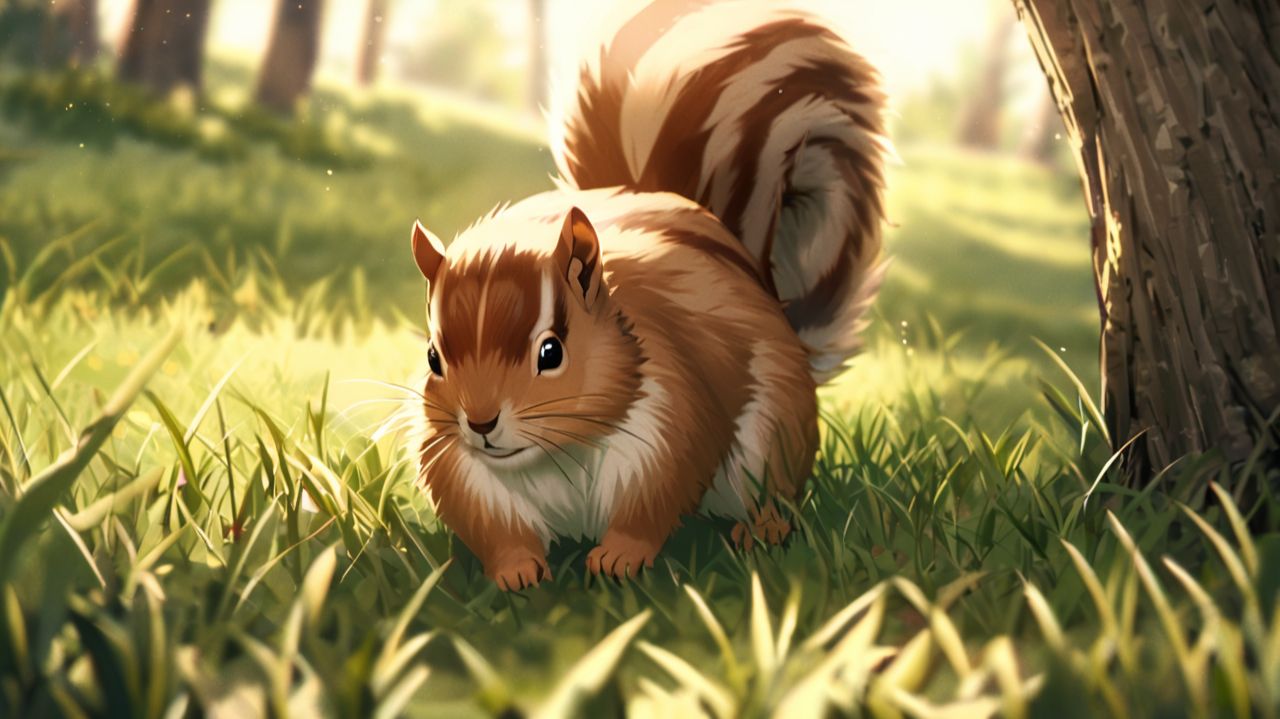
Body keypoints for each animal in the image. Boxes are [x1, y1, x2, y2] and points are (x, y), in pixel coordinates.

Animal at [409, 0, 887, 590]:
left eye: (551, 351)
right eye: (434, 358)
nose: (478, 423)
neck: (555, 452)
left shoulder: (675, 422)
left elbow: (654, 504)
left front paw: (619, 557)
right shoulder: (466, 473)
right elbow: (496, 531)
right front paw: (515, 571)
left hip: (772, 444)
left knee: (774, 494)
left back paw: (763, 530)